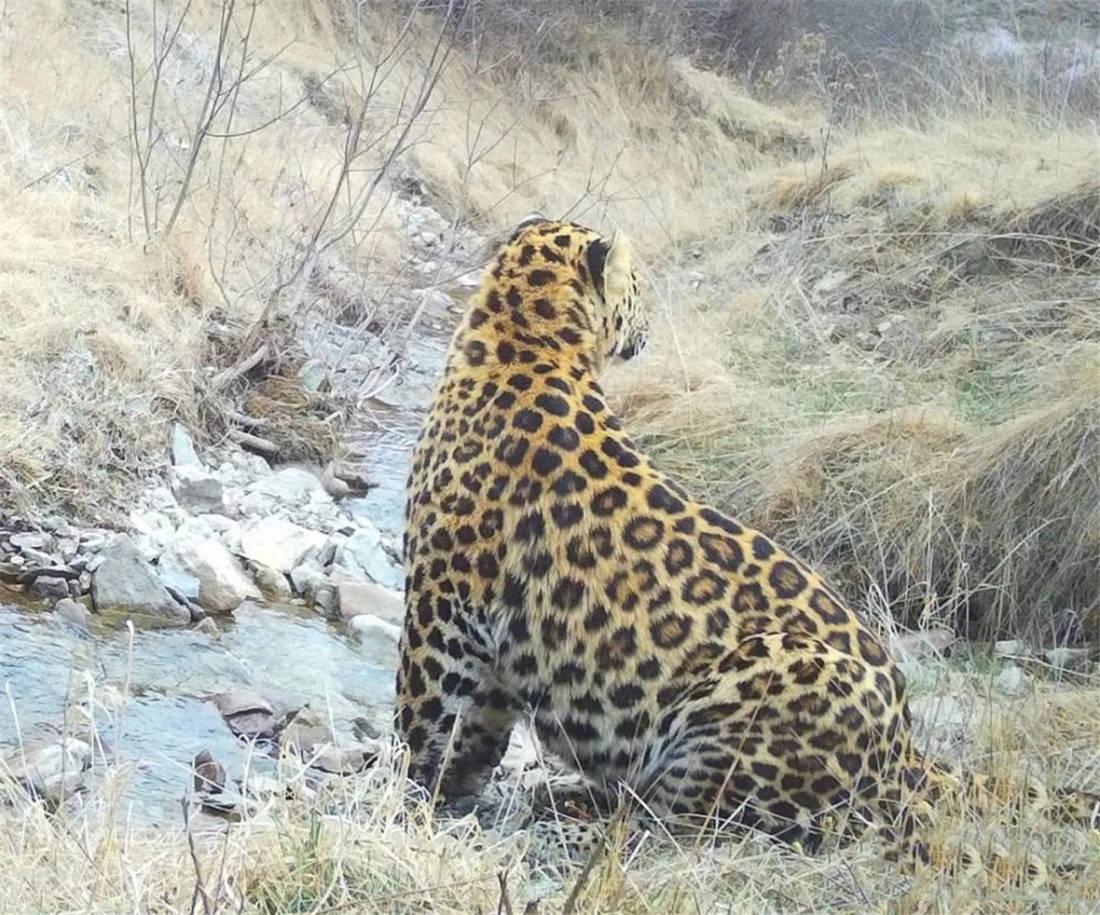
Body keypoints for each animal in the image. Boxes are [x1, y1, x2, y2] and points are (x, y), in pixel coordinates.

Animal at [395, 214, 1099, 877]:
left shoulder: (439, 600)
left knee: (681, 825)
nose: (650, 326)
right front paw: (444, 792)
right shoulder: (472, 625)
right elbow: (470, 727)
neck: (527, 338)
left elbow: (420, 712)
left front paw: (400, 795)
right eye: (639, 285)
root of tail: (905, 755)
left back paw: (568, 815)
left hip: (757, 685)